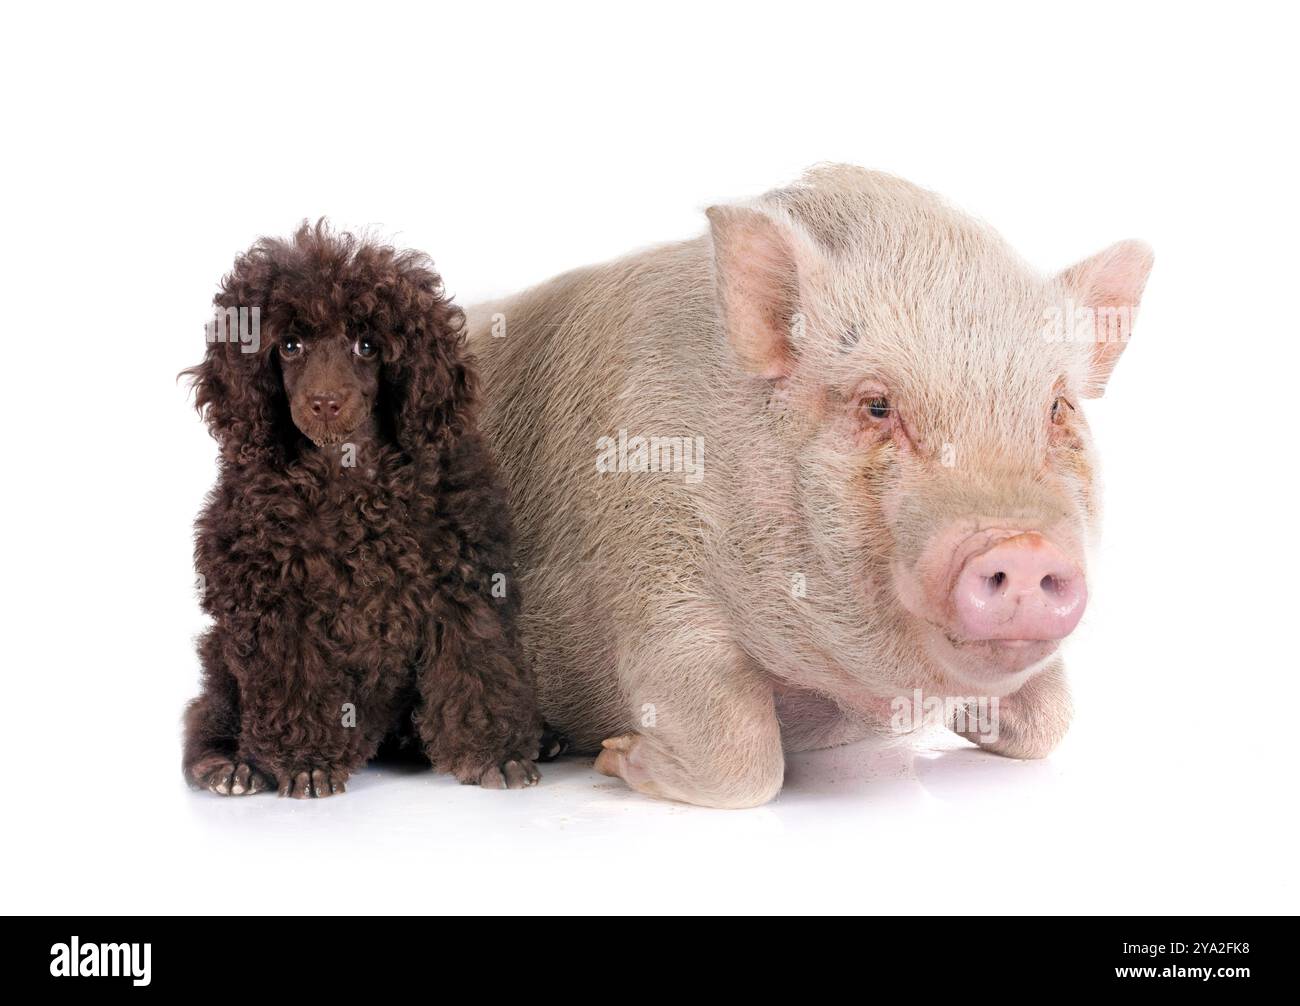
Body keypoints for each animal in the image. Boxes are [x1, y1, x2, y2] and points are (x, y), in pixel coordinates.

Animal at [465, 165, 1151, 808]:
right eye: (877, 405)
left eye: (1057, 406)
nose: (1023, 547)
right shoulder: (646, 568)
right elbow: (741, 753)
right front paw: (614, 755)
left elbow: (1052, 719)